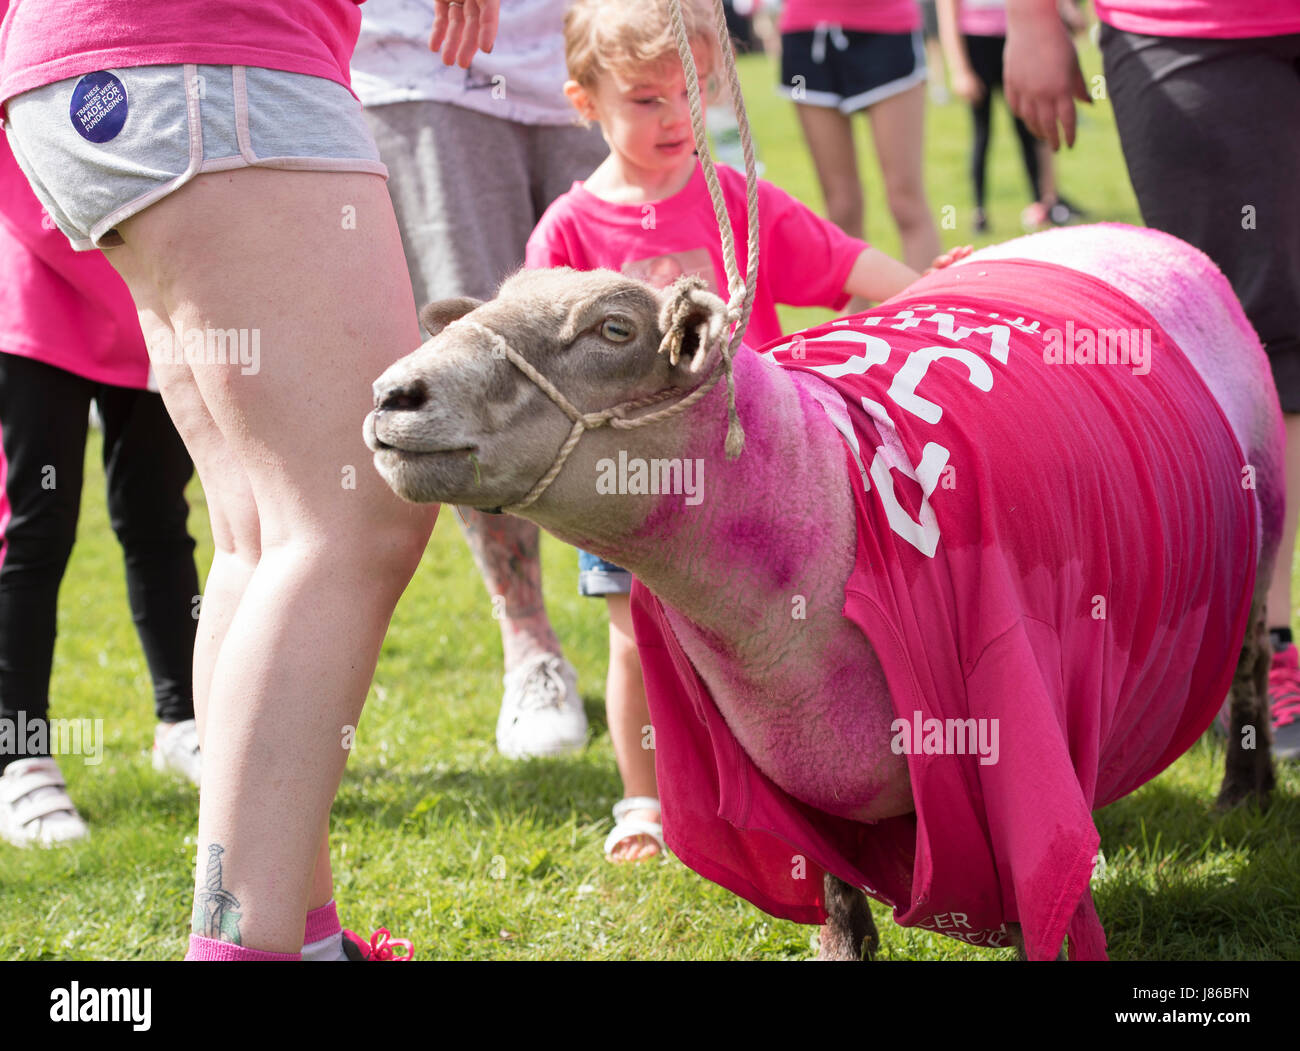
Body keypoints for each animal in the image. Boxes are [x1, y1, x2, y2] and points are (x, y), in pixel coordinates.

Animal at [363, 223, 1283, 960]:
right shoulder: (787, 771)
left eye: (613, 328)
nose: (389, 395)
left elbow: (1038, 888)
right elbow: (836, 891)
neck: (824, 492)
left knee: (1244, 665)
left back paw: (1246, 792)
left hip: (1264, 530)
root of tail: (1131, 232)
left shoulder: (1013, 728)